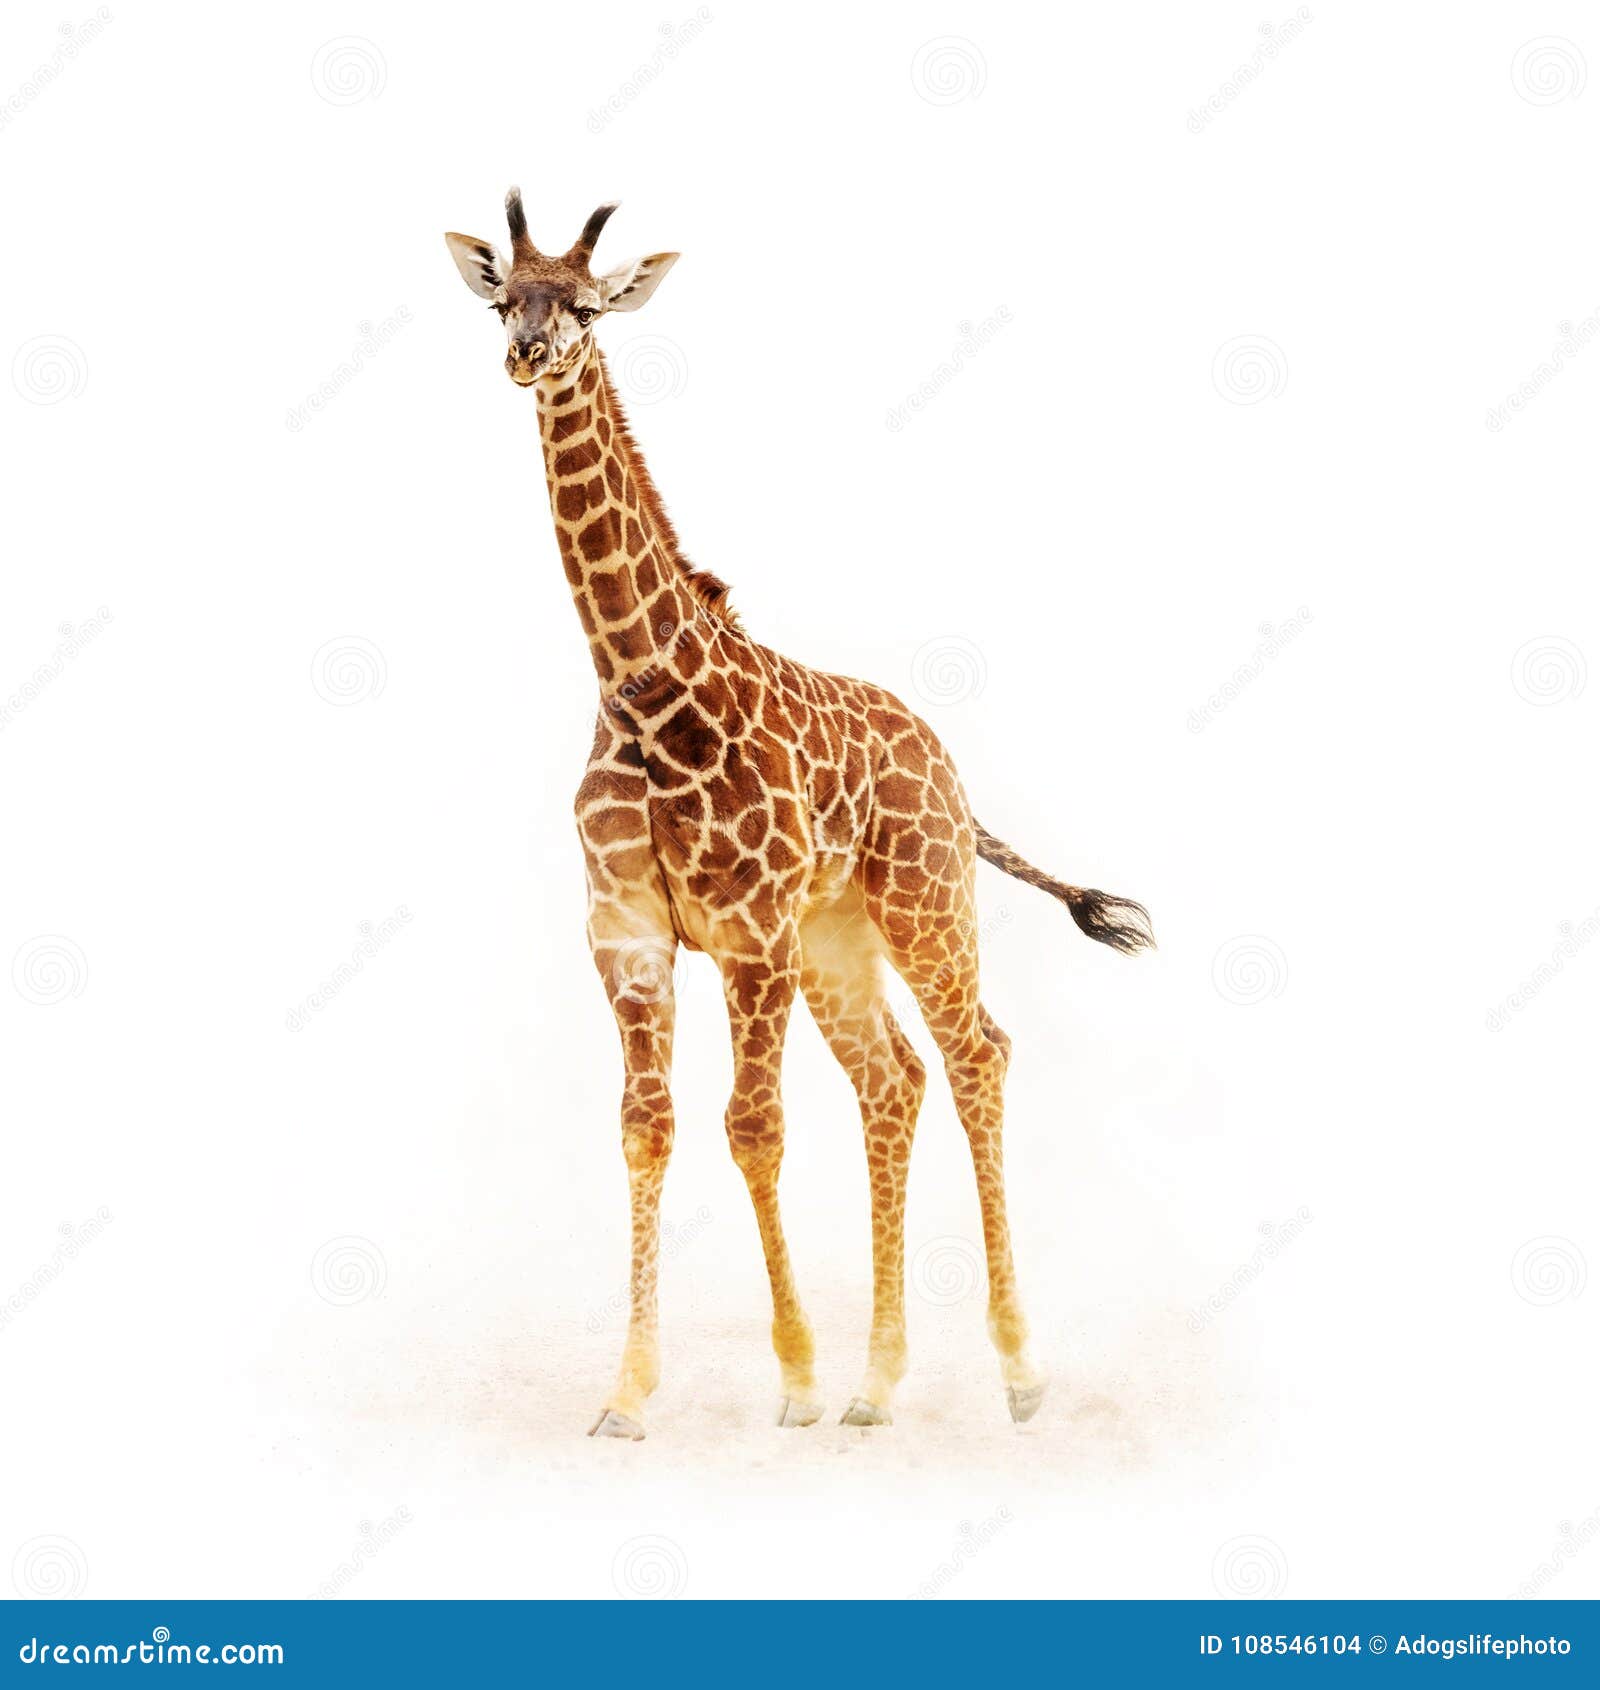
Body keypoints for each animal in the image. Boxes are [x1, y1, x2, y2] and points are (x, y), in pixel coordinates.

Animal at [445, 192, 1155, 1439]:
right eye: (502, 299)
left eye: (587, 303)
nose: (528, 353)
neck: (642, 691)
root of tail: (951, 776)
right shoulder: (627, 936)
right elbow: (647, 1127)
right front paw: (627, 1395)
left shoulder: (750, 934)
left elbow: (752, 1126)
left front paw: (794, 1378)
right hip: (840, 937)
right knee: (894, 1079)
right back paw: (879, 1386)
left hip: (922, 903)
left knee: (975, 1055)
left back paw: (1017, 1372)